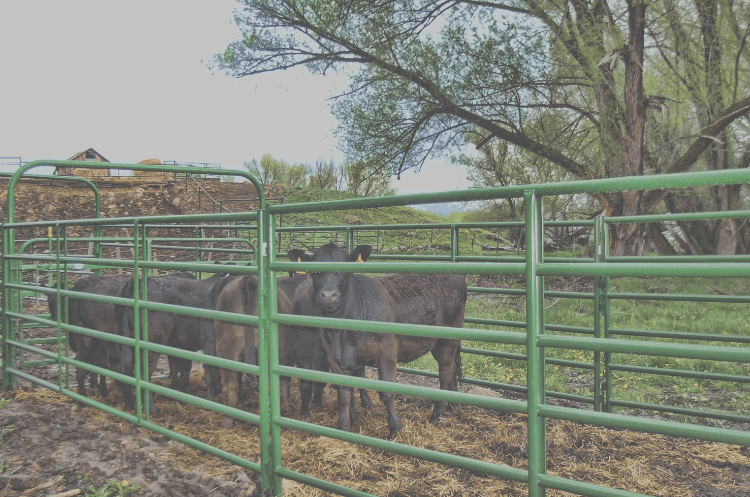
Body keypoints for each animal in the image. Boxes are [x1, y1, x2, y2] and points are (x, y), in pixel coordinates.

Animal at [288, 242, 466, 438]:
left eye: (345, 269)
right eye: (314, 271)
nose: (328, 295)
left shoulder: (386, 354)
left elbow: (386, 392)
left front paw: (395, 428)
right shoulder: (335, 358)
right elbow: (344, 393)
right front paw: (344, 427)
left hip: (447, 340)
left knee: (445, 371)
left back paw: (438, 414)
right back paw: (452, 404)